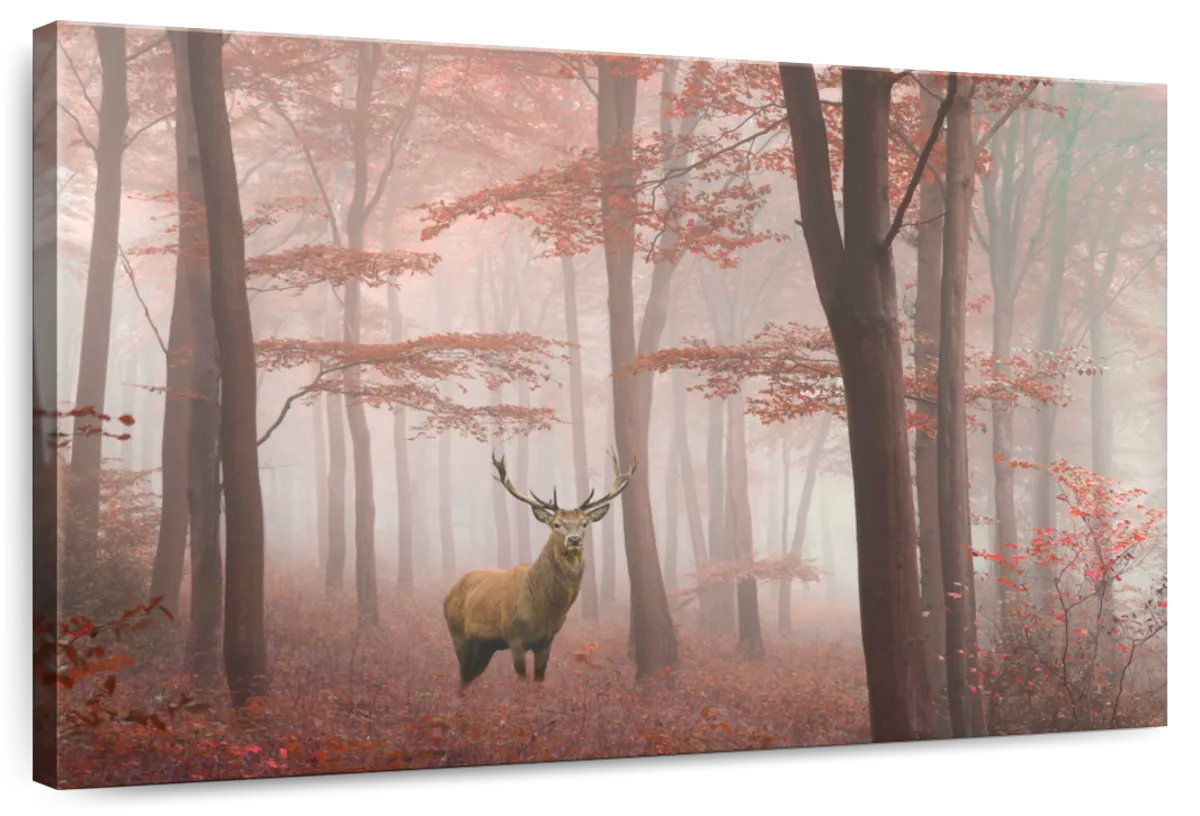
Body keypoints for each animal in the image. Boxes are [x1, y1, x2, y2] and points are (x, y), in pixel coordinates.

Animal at [443, 450, 635, 687]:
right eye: (556, 524)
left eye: (584, 523)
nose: (574, 539)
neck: (541, 610)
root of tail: (448, 594)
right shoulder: (514, 637)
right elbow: (522, 679)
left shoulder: (546, 641)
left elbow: (539, 681)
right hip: (458, 634)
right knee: (462, 676)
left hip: (485, 646)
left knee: (469, 677)